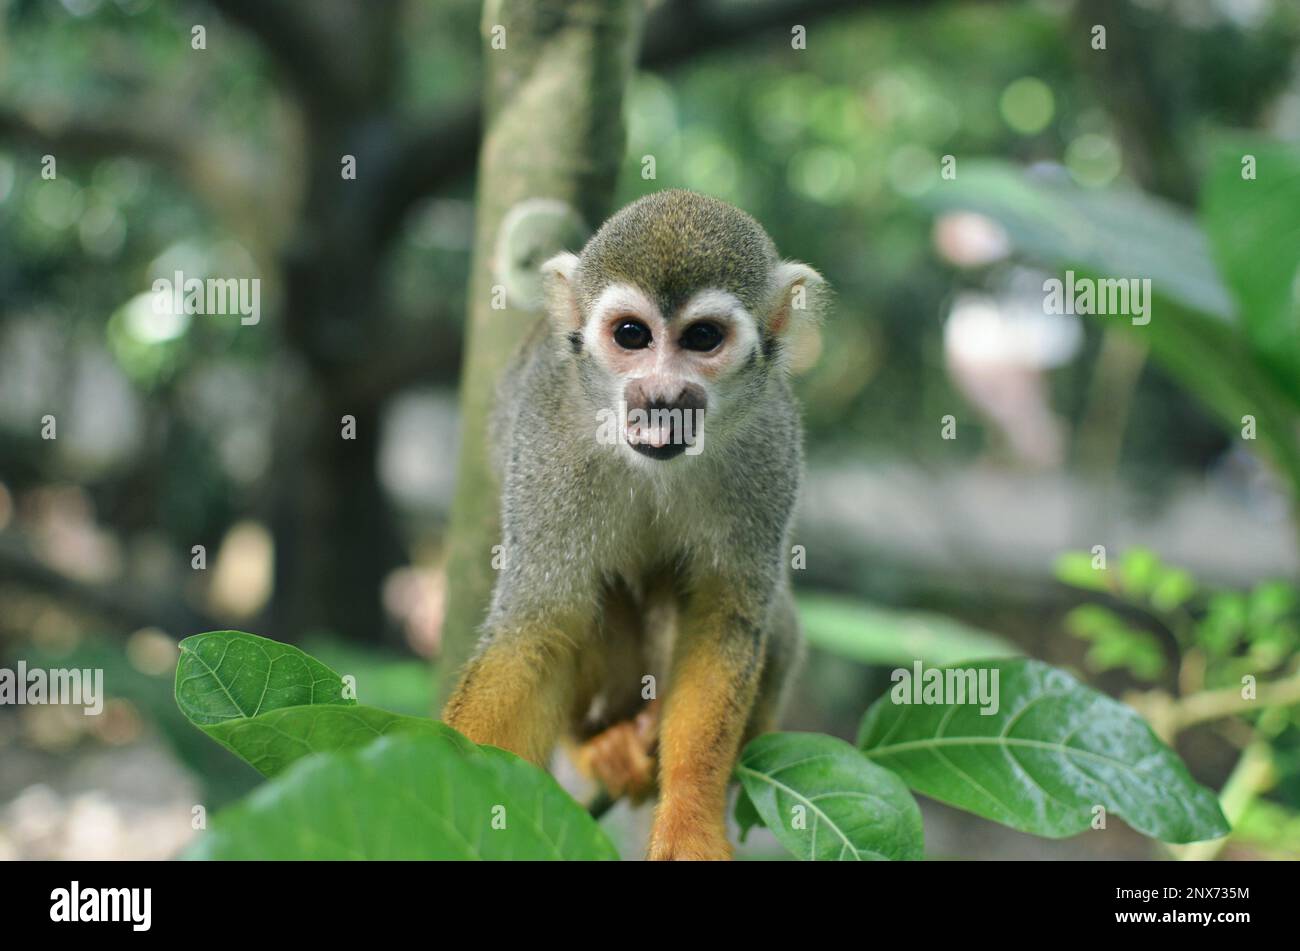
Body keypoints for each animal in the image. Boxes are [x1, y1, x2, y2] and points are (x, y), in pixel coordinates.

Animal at [443, 189, 824, 860]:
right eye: (632, 335)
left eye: (703, 338)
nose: (662, 395)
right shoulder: (549, 433)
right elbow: (536, 628)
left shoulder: (771, 440)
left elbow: (725, 619)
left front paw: (690, 819)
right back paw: (598, 744)